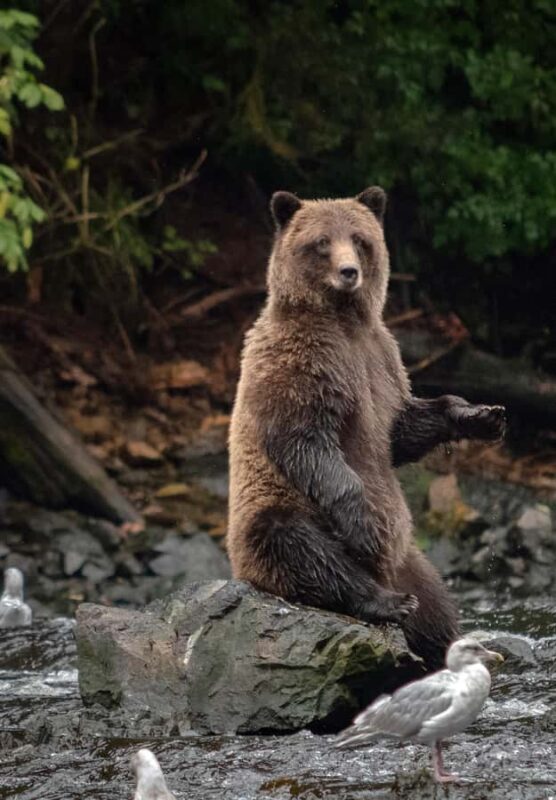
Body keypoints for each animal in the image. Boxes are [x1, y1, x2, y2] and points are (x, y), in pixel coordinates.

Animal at [227, 187, 505, 668]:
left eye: (359, 239)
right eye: (322, 241)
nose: (348, 272)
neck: (342, 321)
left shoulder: (382, 360)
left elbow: (401, 430)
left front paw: (482, 415)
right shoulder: (301, 361)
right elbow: (304, 440)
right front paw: (363, 523)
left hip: (414, 562)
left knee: (439, 609)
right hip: (270, 516)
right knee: (295, 542)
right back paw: (385, 601)